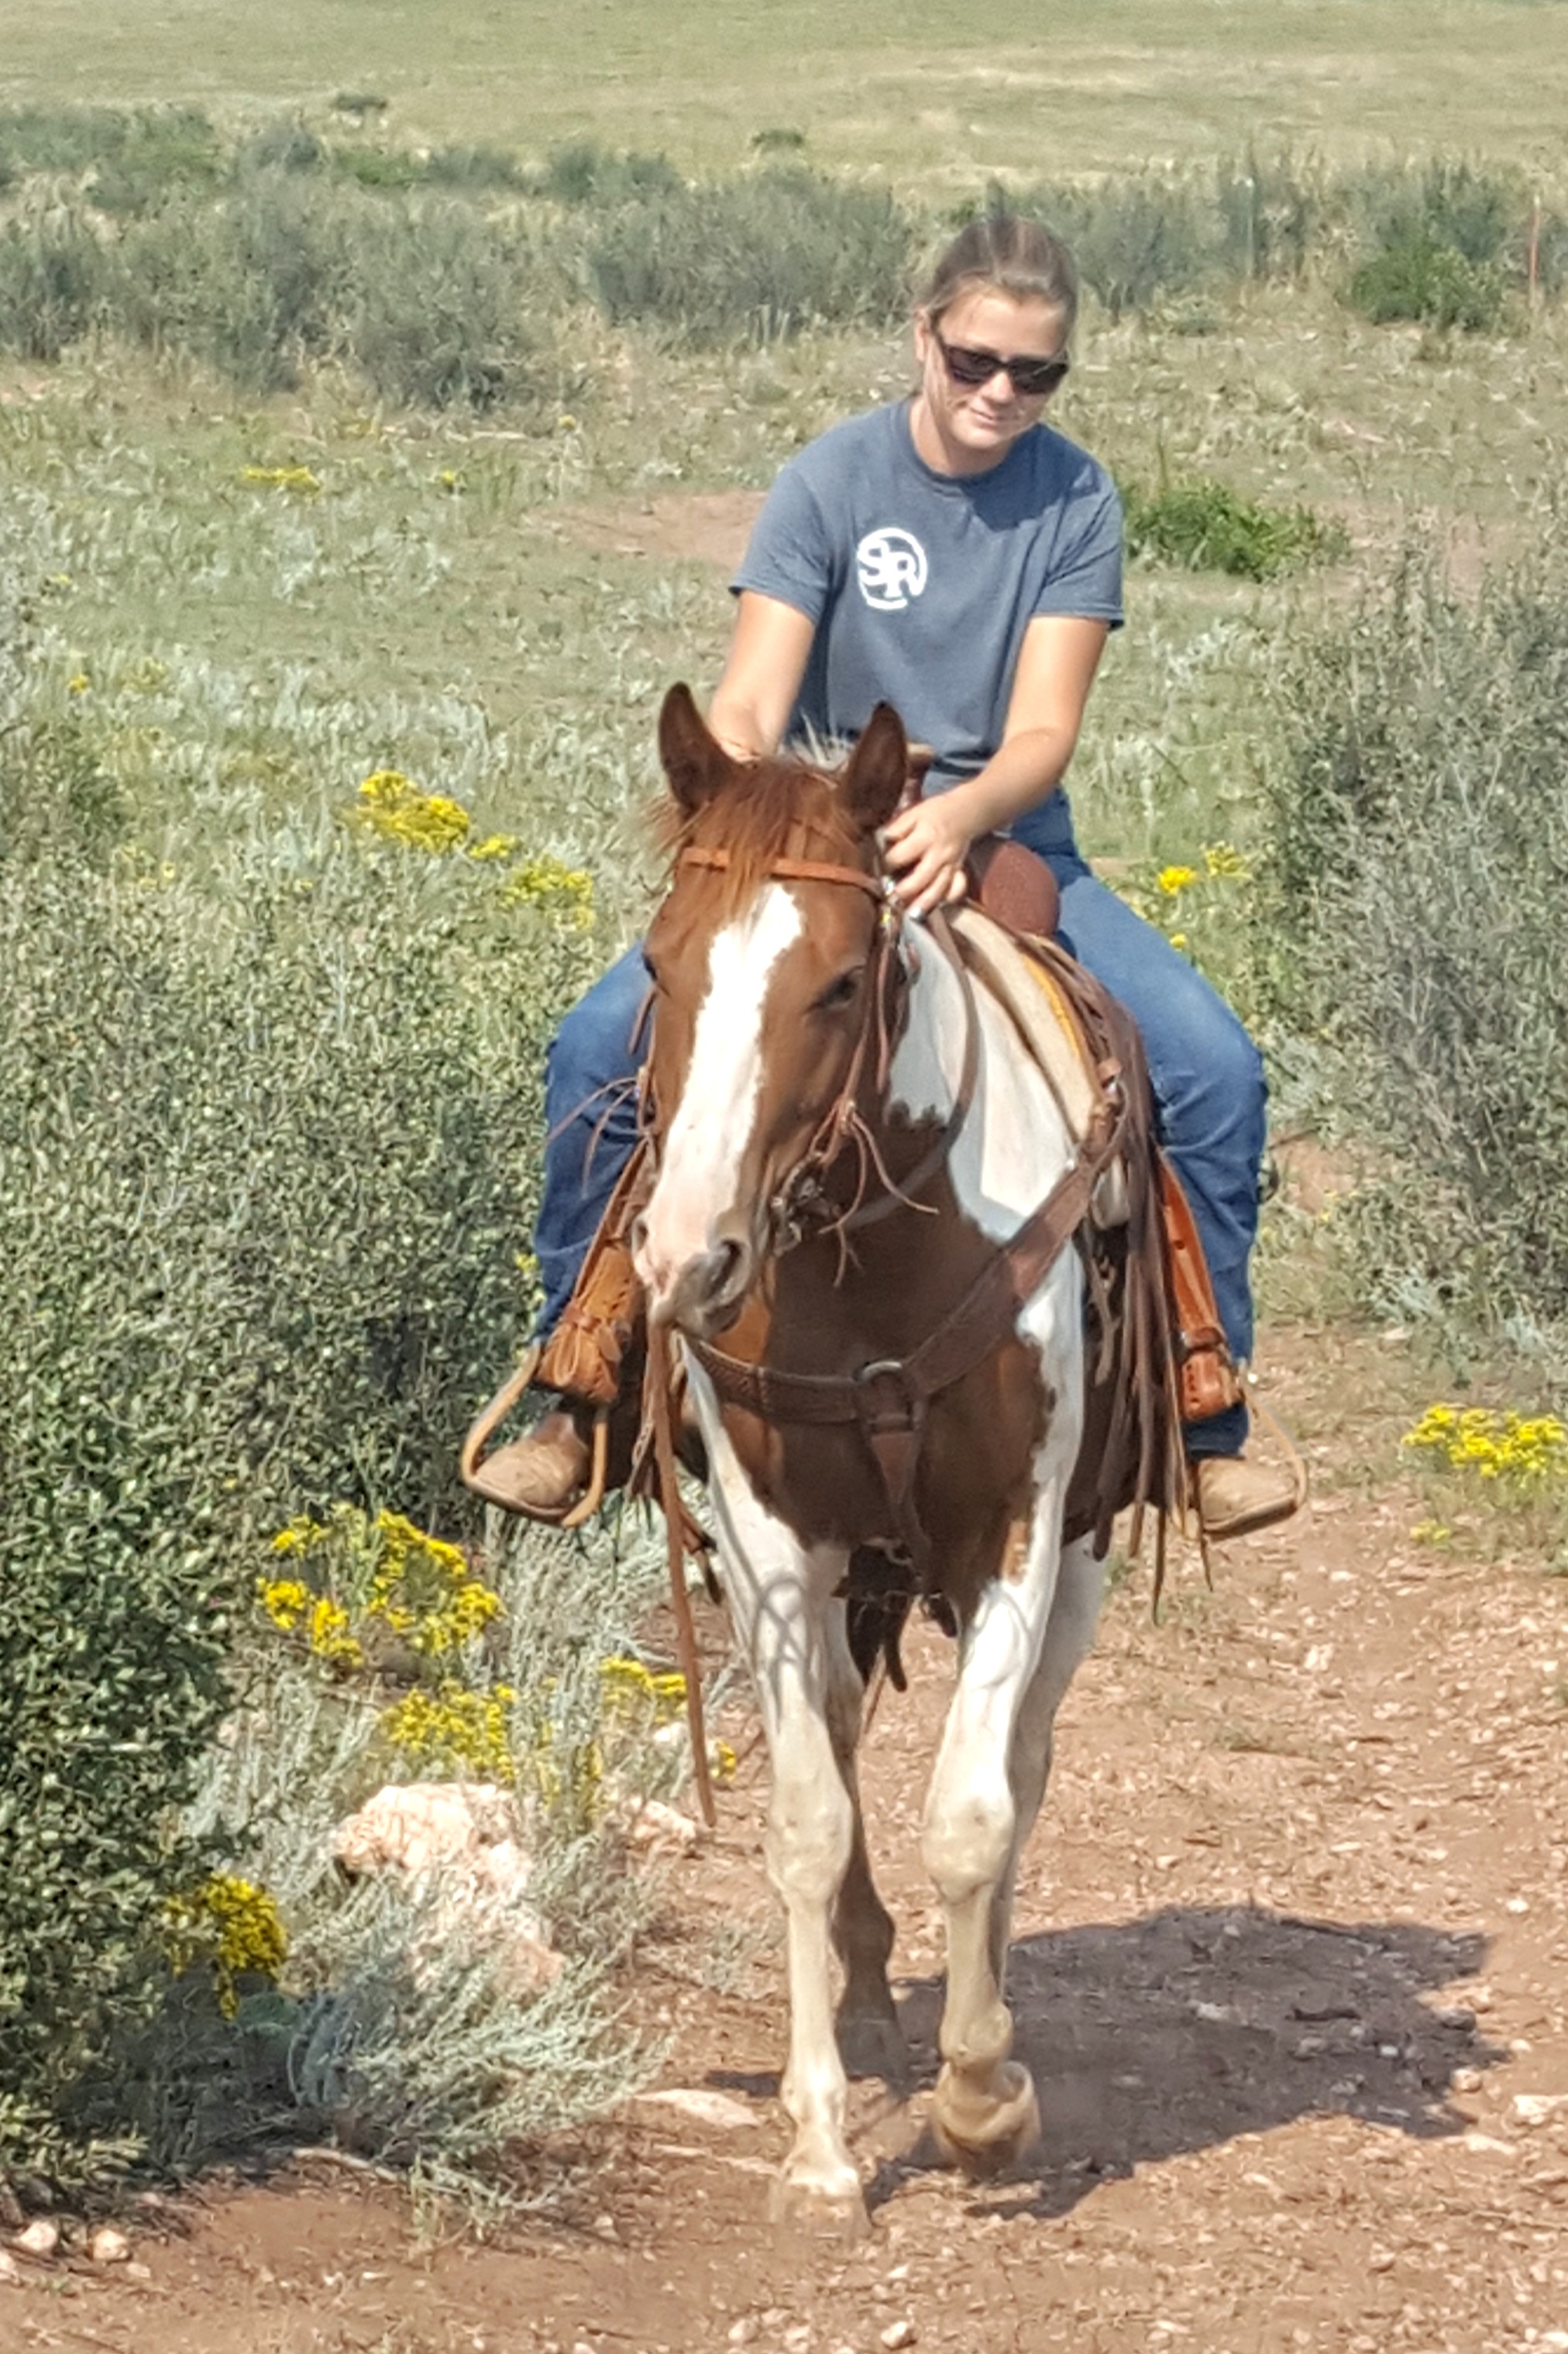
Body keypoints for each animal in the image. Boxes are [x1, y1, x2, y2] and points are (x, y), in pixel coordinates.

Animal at [630, 682, 1123, 2235]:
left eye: (842, 982)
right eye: (659, 962)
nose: (687, 1258)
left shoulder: (1017, 1524)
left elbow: (970, 1811)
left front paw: (980, 2098)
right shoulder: (767, 1536)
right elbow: (805, 1817)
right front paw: (819, 2140)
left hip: (1077, 1568)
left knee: (1021, 1765)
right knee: (848, 1741)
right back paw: (860, 1987)